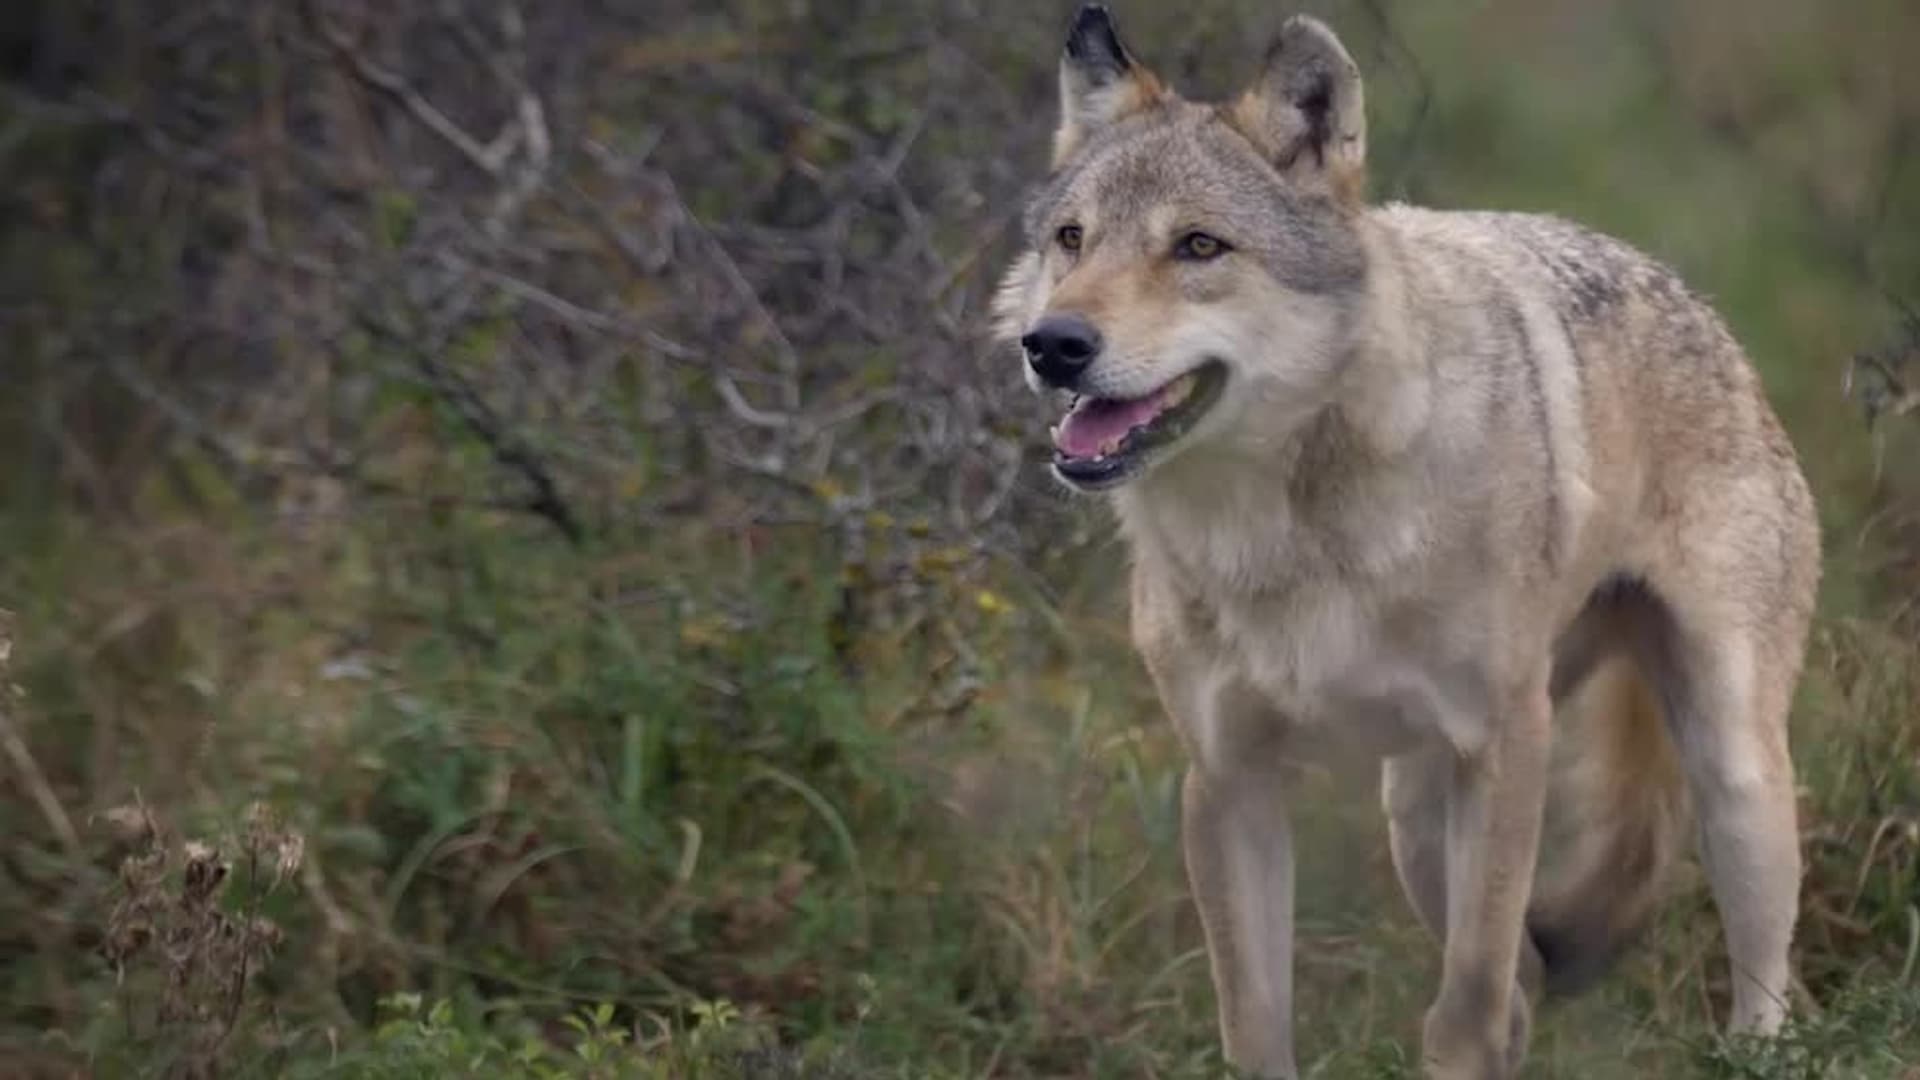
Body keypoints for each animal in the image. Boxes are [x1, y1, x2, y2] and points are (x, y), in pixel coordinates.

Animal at [992, 6, 1822, 1077]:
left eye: (1198, 246)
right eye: (1072, 239)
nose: (1053, 344)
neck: (1288, 534)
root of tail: (1697, 303)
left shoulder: (1508, 748)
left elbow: (1465, 1007)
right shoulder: (1226, 781)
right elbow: (1259, 1020)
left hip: (1730, 773)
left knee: (1748, 980)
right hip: (1415, 819)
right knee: (1526, 976)